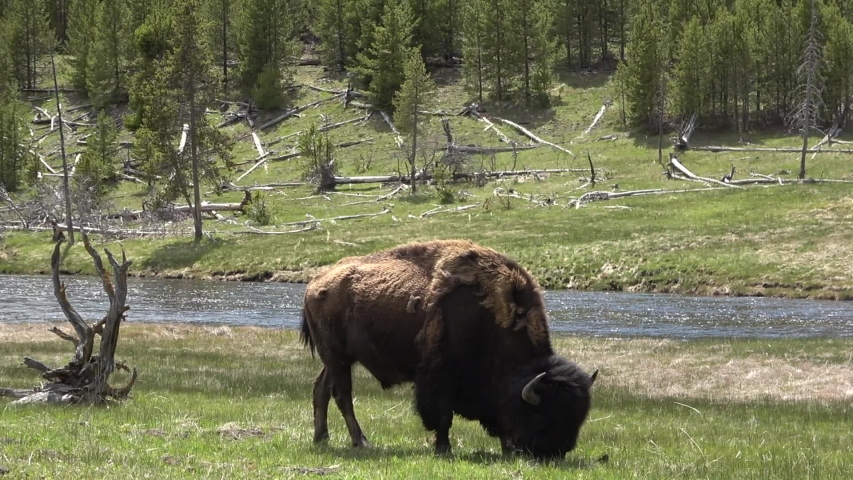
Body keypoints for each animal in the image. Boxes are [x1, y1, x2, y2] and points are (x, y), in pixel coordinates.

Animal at [300, 239, 598, 459]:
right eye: (544, 415)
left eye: (578, 418)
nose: (556, 453)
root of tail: (315, 283)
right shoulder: (437, 376)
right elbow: (442, 415)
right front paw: (444, 448)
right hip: (338, 358)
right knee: (342, 395)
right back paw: (360, 441)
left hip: (337, 360)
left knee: (320, 389)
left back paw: (321, 437)